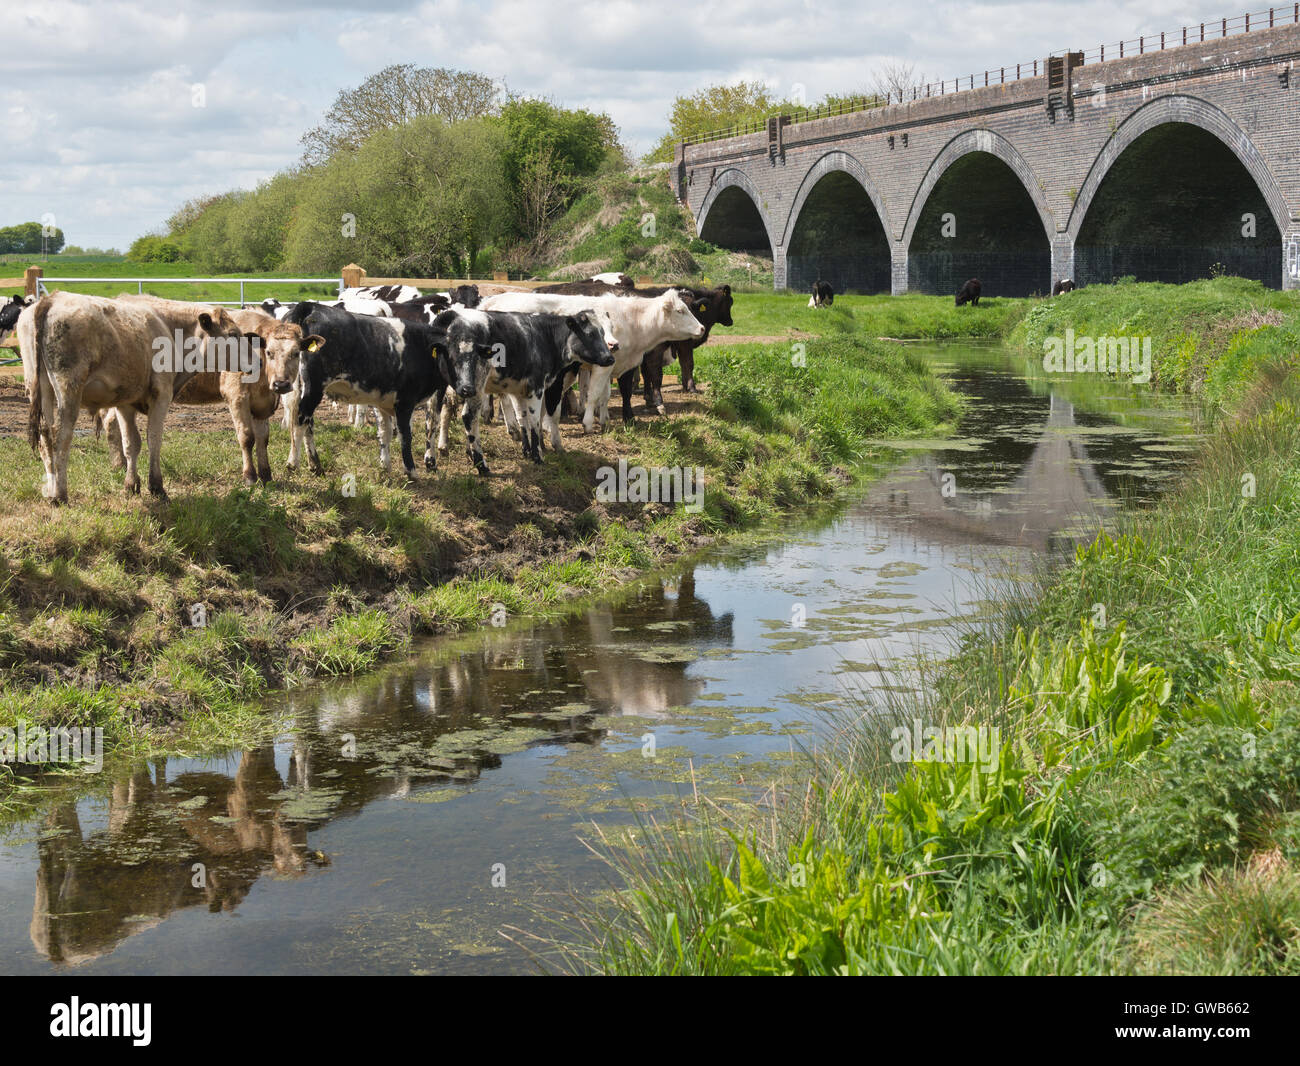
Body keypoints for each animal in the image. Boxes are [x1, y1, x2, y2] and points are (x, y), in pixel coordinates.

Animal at [19, 291, 245, 503]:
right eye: (233, 334)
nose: (253, 359)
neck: (169, 327)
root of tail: (51, 300)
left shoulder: (124, 403)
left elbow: (131, 443)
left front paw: (131, 485)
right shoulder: (161, 395)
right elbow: (154, 439)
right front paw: (157, 488)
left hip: (41, 388)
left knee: (46, 437)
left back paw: (50, 490)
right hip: (69, 389)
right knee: (61, 437)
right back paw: (60, 495)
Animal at [278, 301, 450, 478]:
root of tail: (309, 306)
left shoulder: (386, 399)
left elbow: (386, 430)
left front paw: (386, 465)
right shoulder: (409, 399)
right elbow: (414, 431)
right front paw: (416, 470)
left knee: (307, 423)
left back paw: (315, 465)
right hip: (313, 388)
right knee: (301, 420)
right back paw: (293, 463)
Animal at [432, 308, 615, 472]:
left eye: (603, 333)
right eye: (590, 334)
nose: (610, 358)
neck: (546, 337)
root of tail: (454, 314)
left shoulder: (519, 390)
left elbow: (523, 417)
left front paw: (527, 451)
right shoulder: (538, 388)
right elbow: (536, 420)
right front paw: (538, 456)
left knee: (440, 411)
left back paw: (444, 454)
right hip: (474, 387)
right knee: (469, 416)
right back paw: (481, 465)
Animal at [478, 289, 704, 434]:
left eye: (690, 309)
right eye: (681, 311)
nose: (701, 328)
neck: (631, 321)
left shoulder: (618, 364)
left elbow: (610, 394)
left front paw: (610, 419)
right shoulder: (603, 366)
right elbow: (594, 394)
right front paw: (588, 423)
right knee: (506, 397)